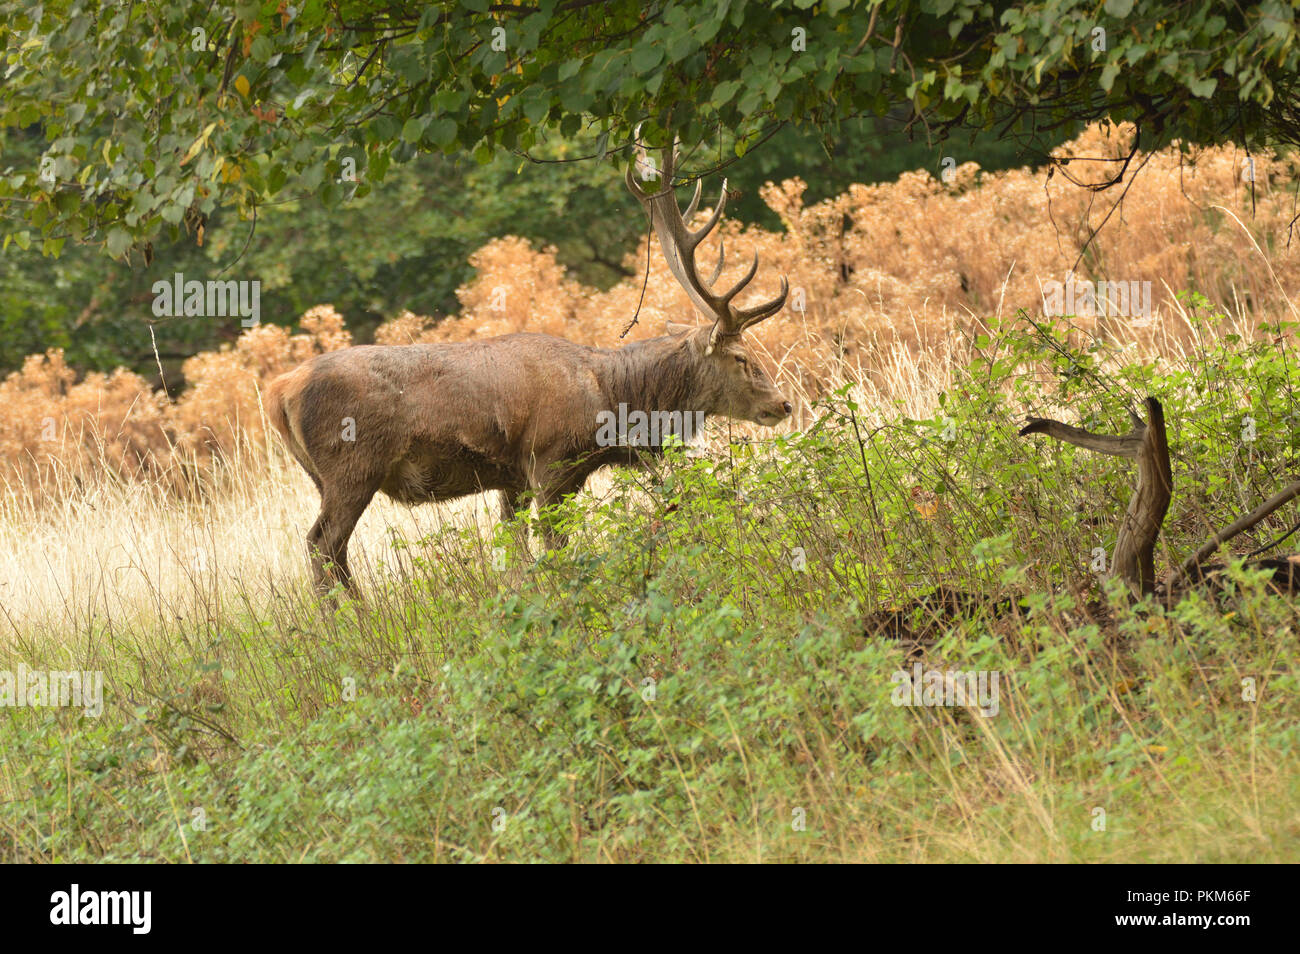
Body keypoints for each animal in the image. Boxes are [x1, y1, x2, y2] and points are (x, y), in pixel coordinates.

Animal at [266, 138, 792, 597]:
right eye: (741, 358)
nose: (784, 404)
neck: (610, 400)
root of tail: (278, 391)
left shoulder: (511, 477)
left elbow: (515, 551)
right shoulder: (551, 460)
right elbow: (555, 547)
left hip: (322, 475)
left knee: (332, 552)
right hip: (352, 466)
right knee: (321, 546)